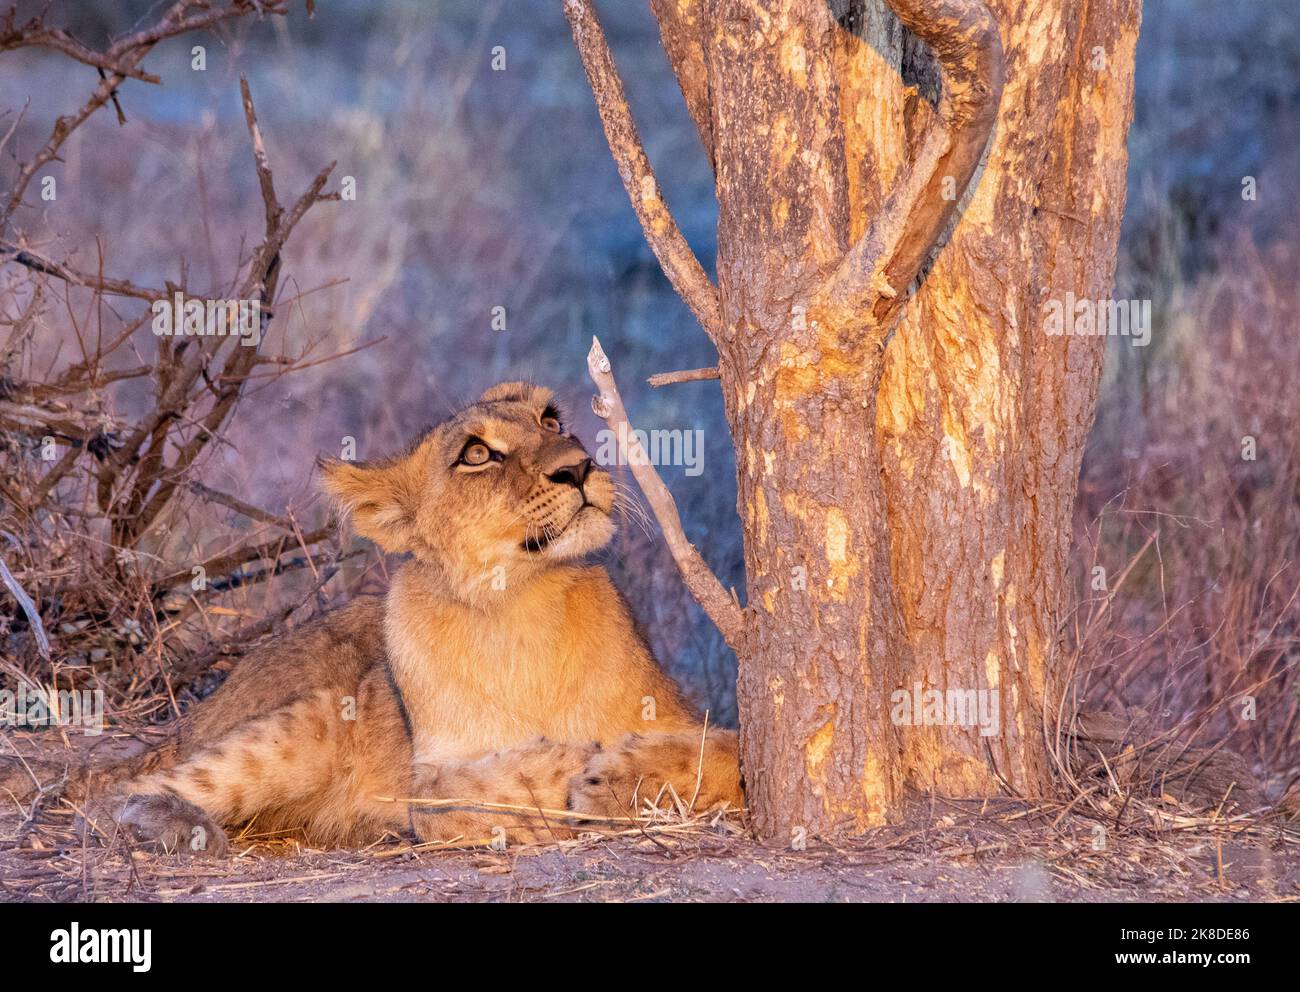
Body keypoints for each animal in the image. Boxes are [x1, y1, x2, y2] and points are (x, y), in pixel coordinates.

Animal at [0, 382, 743, 854]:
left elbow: (730, 751)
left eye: (553, 421)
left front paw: (617, 777)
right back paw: (178, 826)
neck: (517, 603)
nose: (581, 467)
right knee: (121, 793)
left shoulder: (681, 717)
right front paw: (573, 767)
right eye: (478, 454)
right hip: (310, 720)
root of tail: (195, 717)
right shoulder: (431, 772)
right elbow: (452, 790)